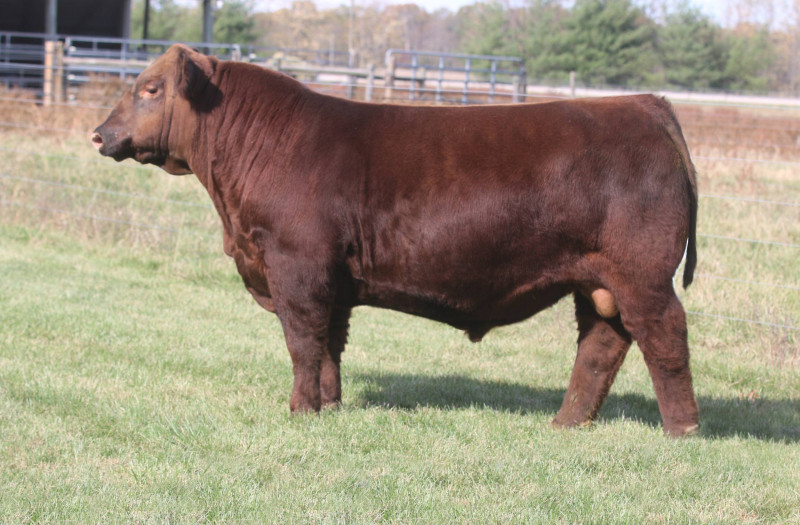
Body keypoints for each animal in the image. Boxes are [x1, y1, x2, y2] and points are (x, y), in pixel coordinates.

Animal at [92, 44, 700, 436]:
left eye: (150, 89)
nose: (99, 133)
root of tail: (643, 103)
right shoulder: (331, 278)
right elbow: (329, 346)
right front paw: (330, 407)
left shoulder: (296, 267)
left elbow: (302, 341)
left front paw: (300, 410)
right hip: (598, 281)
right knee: (601, 345)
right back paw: (567, 424)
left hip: (643, 273)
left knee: (664, 335)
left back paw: (683, 430)